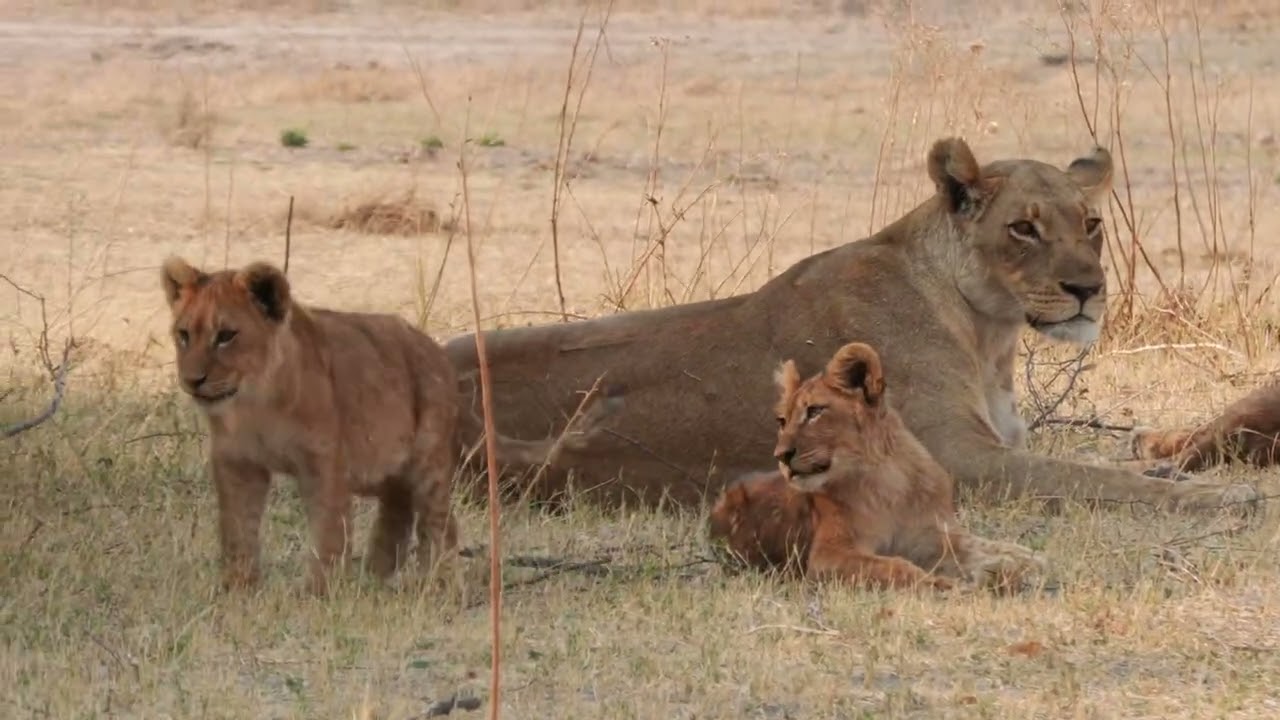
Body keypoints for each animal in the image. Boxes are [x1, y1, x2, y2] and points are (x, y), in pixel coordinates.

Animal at [160, 256, 620, 595]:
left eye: (226, 336)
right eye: (184, 335)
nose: (192, 380)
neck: (257, 401)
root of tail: (435, 350)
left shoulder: (323, 464)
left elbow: (327, 531)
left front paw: (317, 594)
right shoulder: (237, 464)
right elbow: (237, 529)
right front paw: (237, 590)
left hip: (427, 459)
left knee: (439, 524)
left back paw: (436, 585)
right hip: (384, 465)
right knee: (398, 513)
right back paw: (376, 576)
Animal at [444, 137, 1259, 516]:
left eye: (1091, 224)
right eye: (1023, 228)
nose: (1089, 289)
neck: (988, 335)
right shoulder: (959, 460)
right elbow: (1092, 479)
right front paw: (1226, 500)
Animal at [707, 342, 1043, 592]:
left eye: (815, 411)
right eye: (782, 420)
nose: (781, 455)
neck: (887, 481)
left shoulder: (928, 537)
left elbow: (968, 548)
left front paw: (1004, 568)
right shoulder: (827, 556)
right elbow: (895, 567)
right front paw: (943, 585)